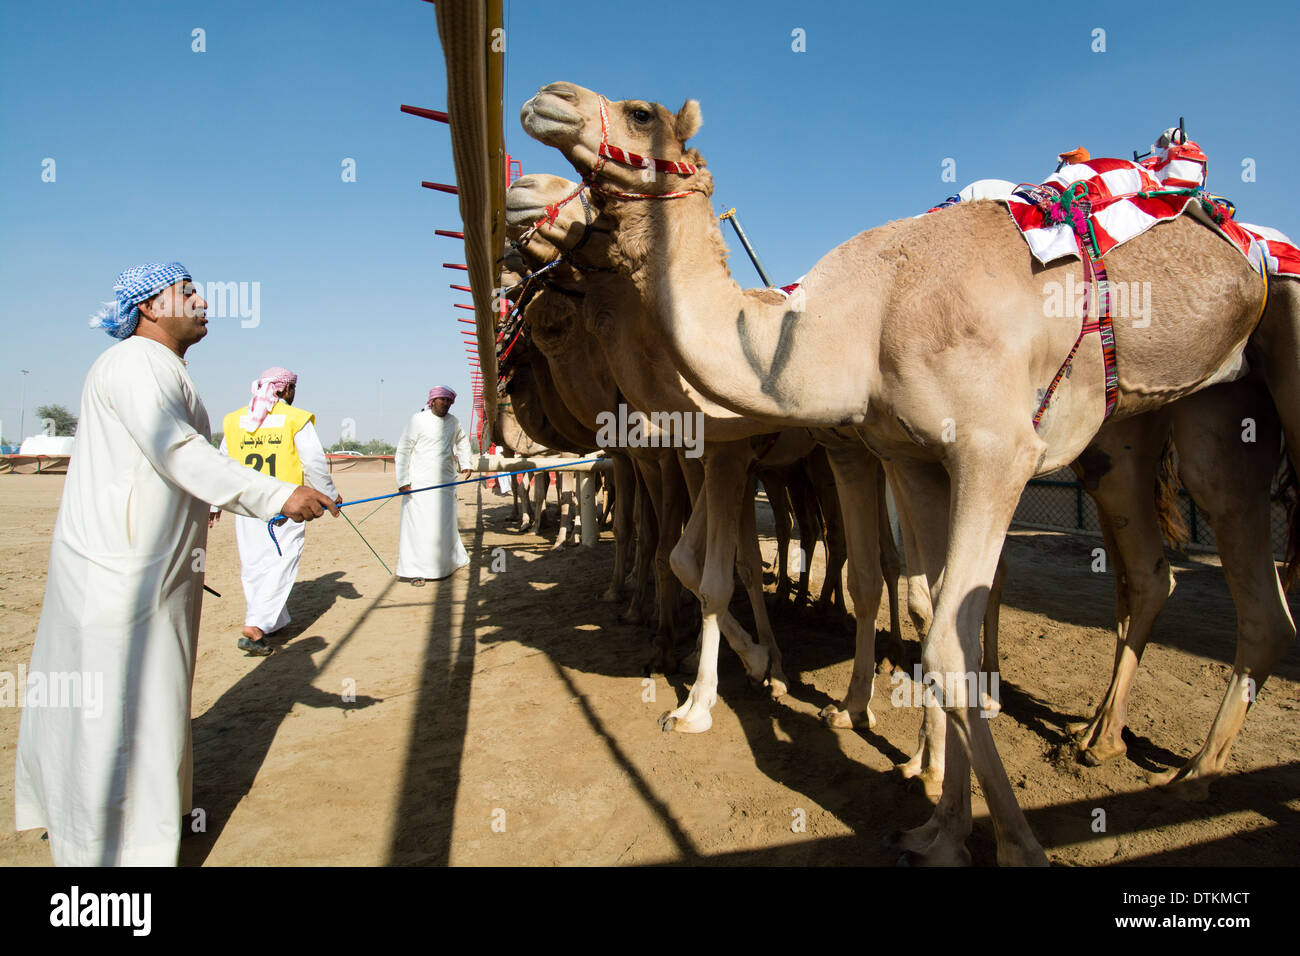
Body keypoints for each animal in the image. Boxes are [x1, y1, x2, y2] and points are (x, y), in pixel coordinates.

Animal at [521, 81, 1282, 865]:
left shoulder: (993, 450)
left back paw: (1187, 772)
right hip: (1156, 424)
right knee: (1171, 567)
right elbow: (923, 604)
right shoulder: (907, 456)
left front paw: (1011, 840)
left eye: (640, 112)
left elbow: (937, 628)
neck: (856, 323)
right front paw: (940, 825)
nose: (549, 98)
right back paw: (1109, 743)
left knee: (1237, 568)